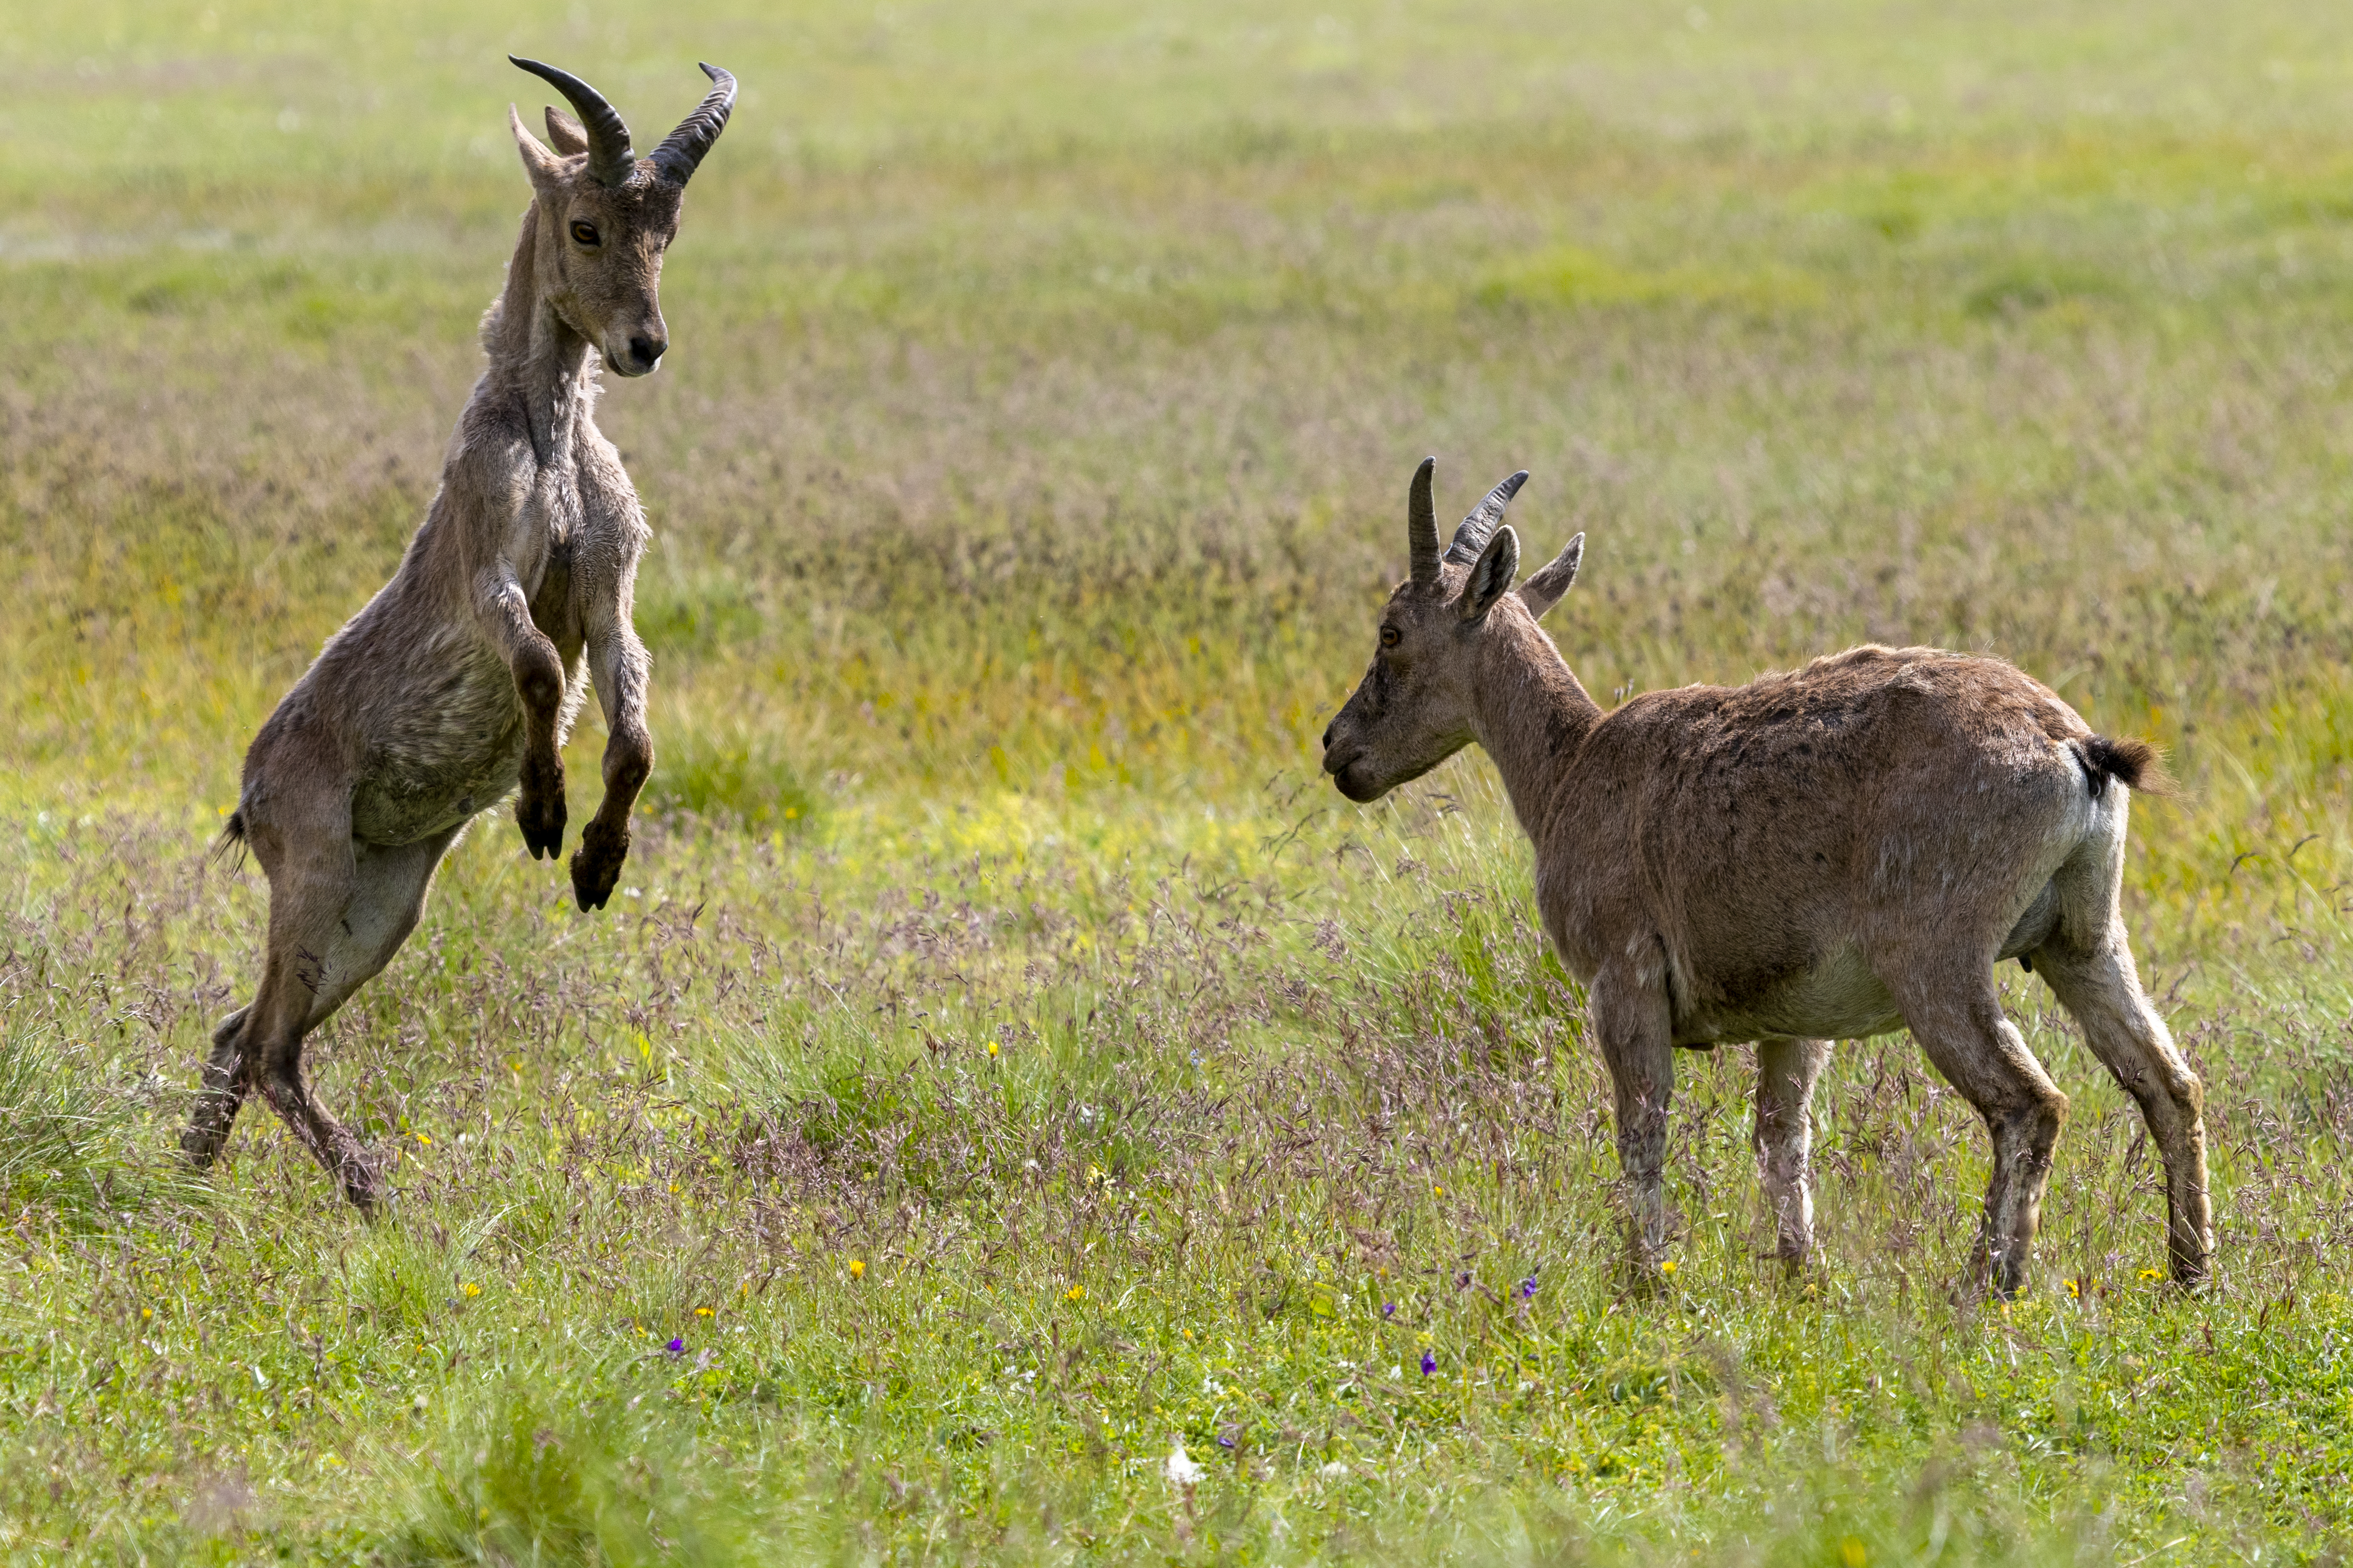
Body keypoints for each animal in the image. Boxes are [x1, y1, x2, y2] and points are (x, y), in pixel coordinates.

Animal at [185, 55, 734, 1213]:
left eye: (666, 228)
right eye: (584, 224)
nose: (644, 346)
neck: (550, 442)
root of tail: (249, 800)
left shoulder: (610, 595)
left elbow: (633, 731)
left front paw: (596, 866)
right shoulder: (491, 580)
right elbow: (534, 668)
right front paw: (539, 812)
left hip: (384, 905)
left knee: (239, 1032)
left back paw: (198, 1187)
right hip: (316, 870)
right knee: (267, 1044)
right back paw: (373, 1191)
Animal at [1327, 461, 2202, 1297]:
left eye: (1391, 631)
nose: (1337, 749)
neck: (1571, 768)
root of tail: (2074, 748)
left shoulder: (1624, 977)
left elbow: (1643, 1127)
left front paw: (1644, 1281)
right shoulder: (1797, 1017)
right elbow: (1782, 1139)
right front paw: (1800, 1276)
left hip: (1937, 960)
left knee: (2029, 1102)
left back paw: (1986, 1285)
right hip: (2083, 938)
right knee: (2168, 1083)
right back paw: (2189, 1276)